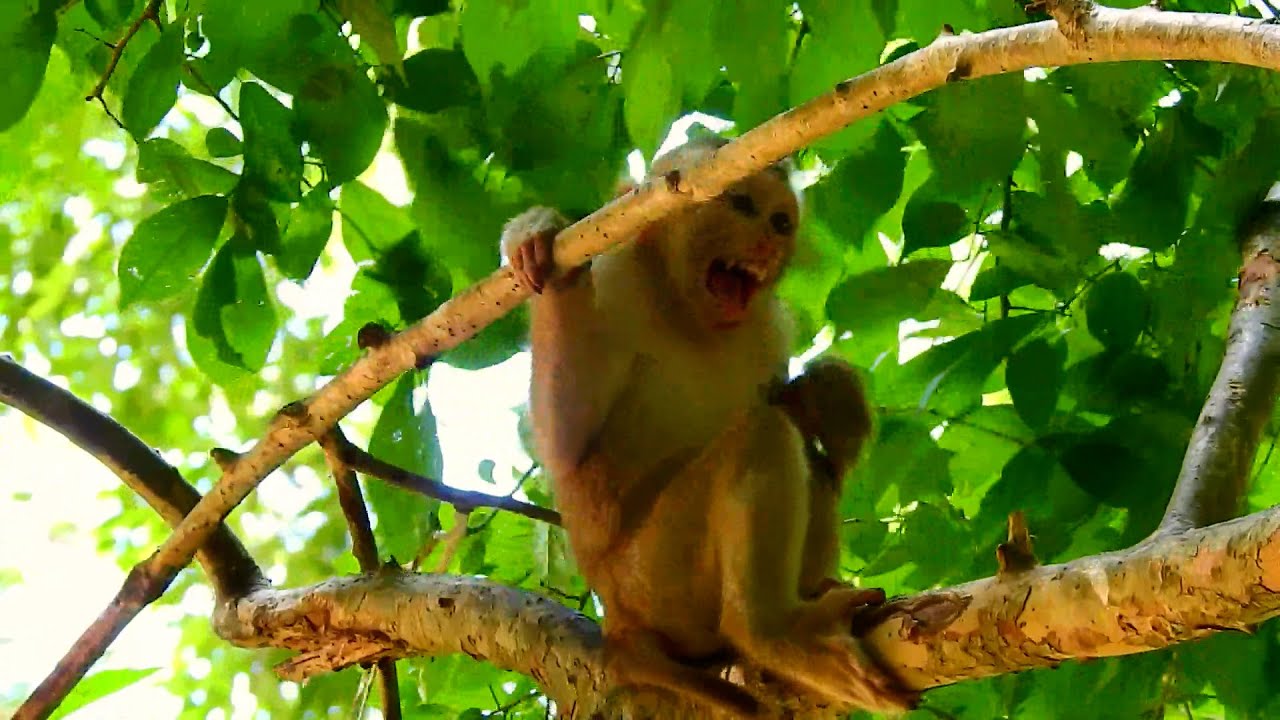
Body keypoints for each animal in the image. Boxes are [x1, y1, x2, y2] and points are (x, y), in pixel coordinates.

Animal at [500, 137, 914, 716]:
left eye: (780, 222)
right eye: (741, 205)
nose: (767, 243)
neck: (686, 313)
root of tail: (622, 630)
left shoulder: (770, 328)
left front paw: (828, 397)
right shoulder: (616, 275)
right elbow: (567, 444)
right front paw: (545, 252)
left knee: (801, 451)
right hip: (659, 581)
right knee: (761, 434)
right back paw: (770, 632)